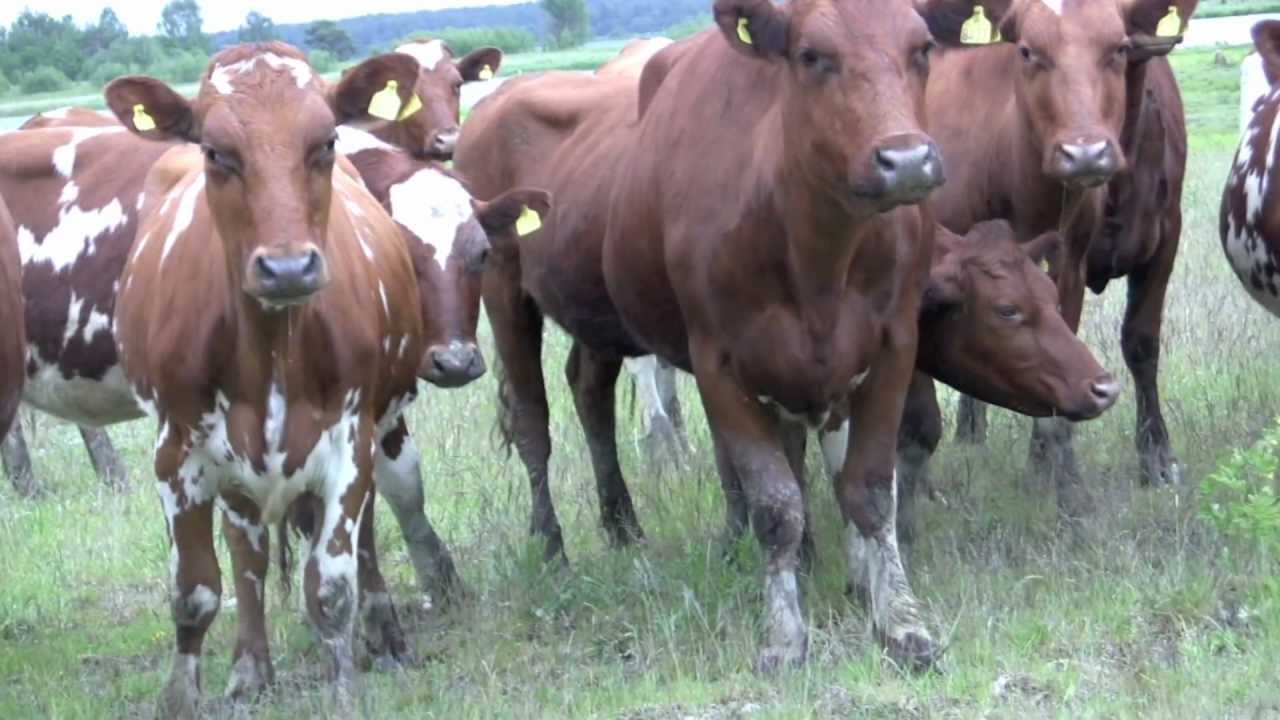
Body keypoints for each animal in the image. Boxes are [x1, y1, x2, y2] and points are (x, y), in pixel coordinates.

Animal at [100, 43, 432, 715]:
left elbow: (331, 586)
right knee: (246, 549)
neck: (272, 348)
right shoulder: (177, 454)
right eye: (215, 152)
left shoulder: (349, 444)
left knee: (357, 543)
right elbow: (195, 592)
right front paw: (184, 697)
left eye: (325, 141)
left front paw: (345, 691)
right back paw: (251, 666)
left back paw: (383, 633)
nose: (287, 268)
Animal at [457, 0, 951, 671]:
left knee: (590, 392)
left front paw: (898, 620)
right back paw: (552, 545)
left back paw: (623, 525)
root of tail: (496, 99)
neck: (818, 252)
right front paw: (784, 636)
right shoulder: (720, 362)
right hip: (505, 293)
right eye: (812, 56)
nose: (906, 161)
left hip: (597, 313)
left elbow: (870, 490)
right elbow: (776, 503)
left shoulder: (889, 346)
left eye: (922, 48)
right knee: (534, 423)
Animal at [914, 0, 1196, 513]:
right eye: (1028, 51)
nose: (1085, 154)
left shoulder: (1164, 239)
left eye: (1118, 47)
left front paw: (1157, 461)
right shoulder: (1057, 254)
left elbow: (1141, 343)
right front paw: (1050, 465)